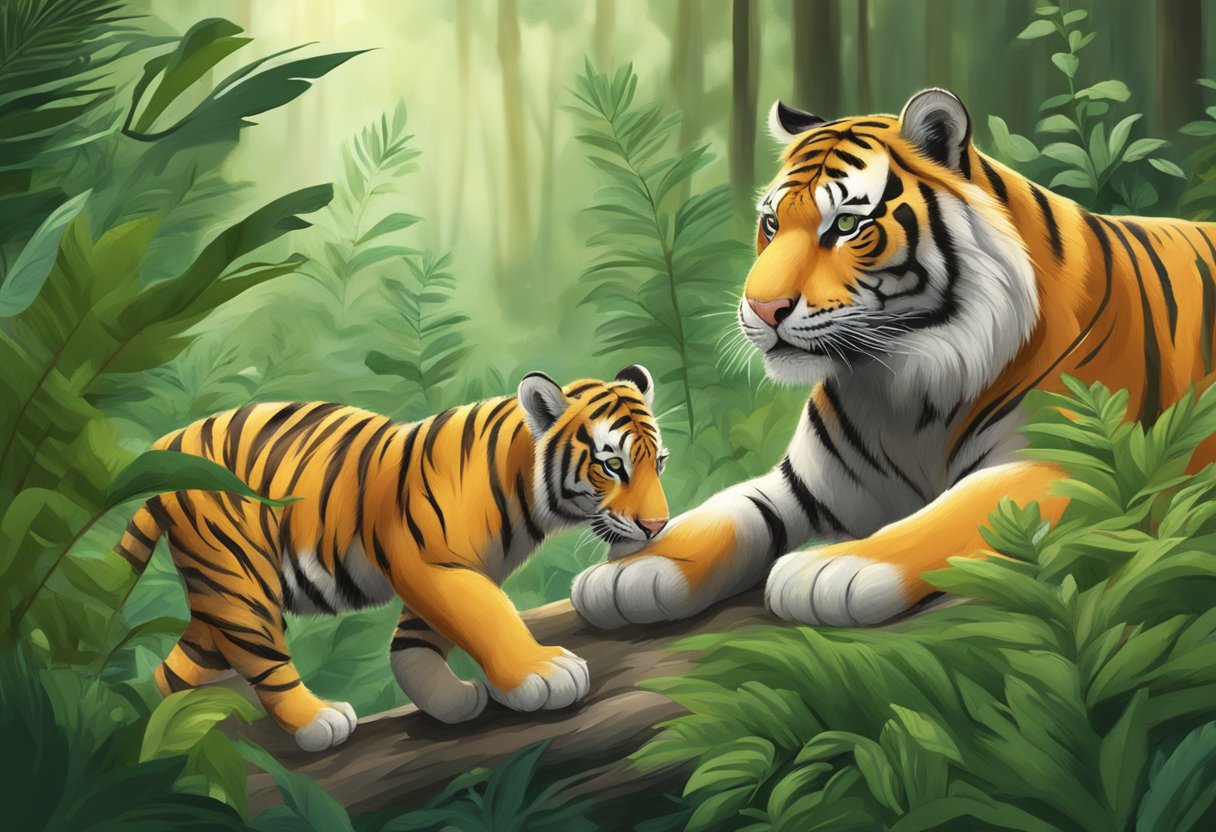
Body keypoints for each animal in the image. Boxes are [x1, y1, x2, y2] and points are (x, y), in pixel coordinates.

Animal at [116, 365, 669, 751]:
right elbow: (491, 618)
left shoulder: (449, 572)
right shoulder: (430, 564)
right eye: (612, 465)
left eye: (658, 462)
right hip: (240, 580)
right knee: (261, 658)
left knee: (174, 671)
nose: (658, 526)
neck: (525, 497)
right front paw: (542, 672)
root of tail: (165, 443)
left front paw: (452, 700)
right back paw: (315, 720)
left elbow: (415, 644)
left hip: (217, 593)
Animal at [572, 88, 1216, 631]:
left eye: (846, 224)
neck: (903, 383)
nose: (761, 307)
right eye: (772, 223)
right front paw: (633, 571)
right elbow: (726, 512)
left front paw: (832, 567)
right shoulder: (803, 484)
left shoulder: (1065, 466)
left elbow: (949, 516)